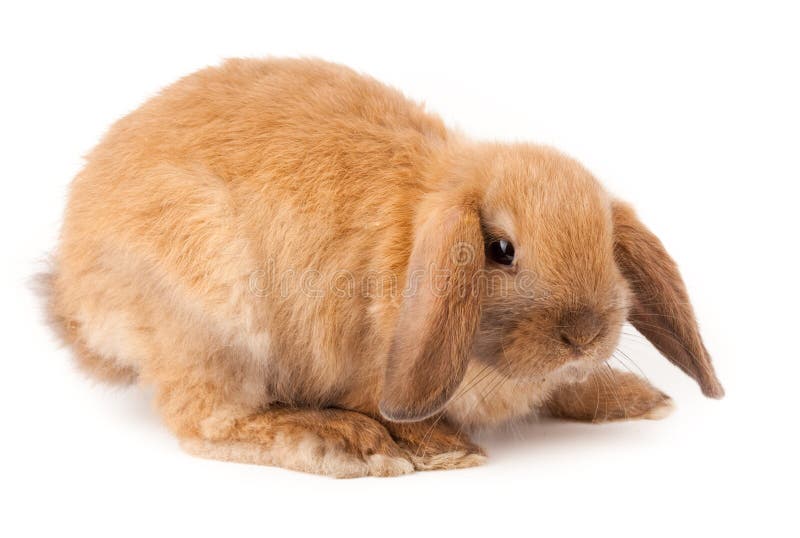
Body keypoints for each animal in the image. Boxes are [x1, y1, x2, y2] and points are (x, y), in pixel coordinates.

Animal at [43, 57, 724, 477]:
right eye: (500, 249)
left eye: (608, 244)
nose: (584, 334)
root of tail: (75, 297)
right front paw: (444, 451)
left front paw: (637, 398)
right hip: (213, 318)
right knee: (207, 422)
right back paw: (346, 443)